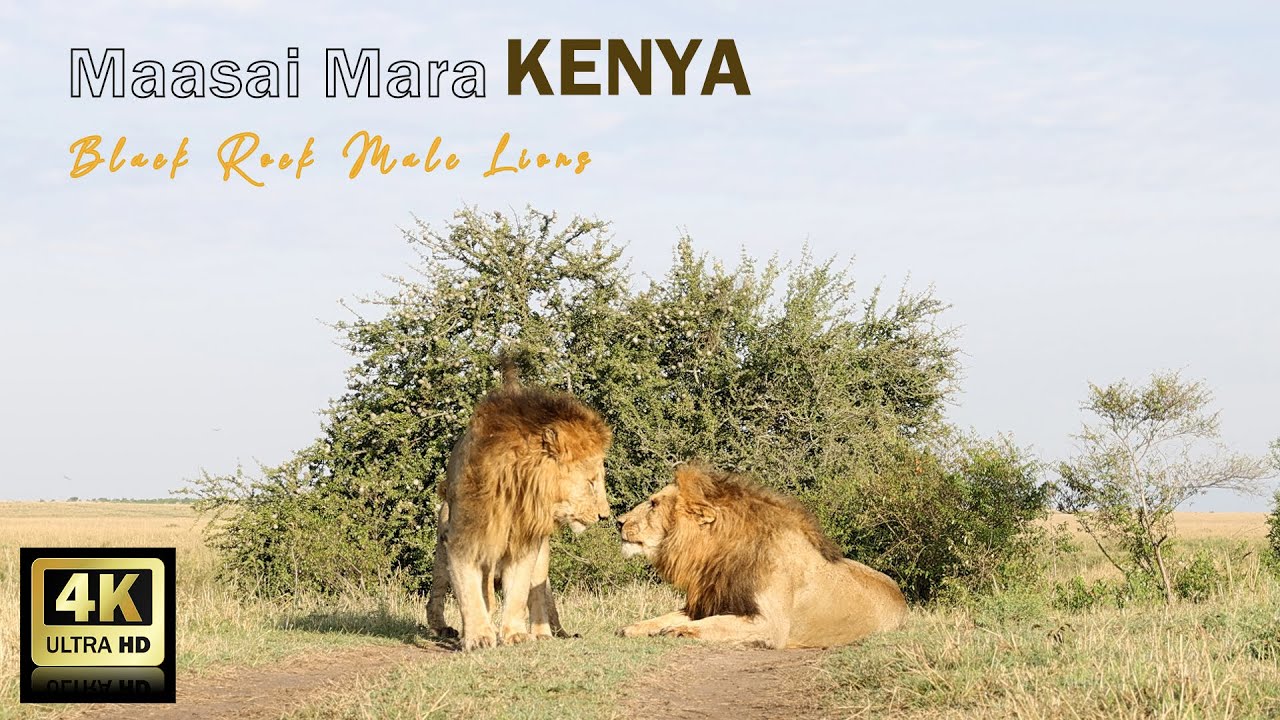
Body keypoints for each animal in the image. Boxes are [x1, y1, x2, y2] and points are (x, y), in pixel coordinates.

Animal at [425, 363, 612, 650]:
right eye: (592, 483)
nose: (605, 516)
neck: (517, 491)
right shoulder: (463, 538)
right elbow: (469, 592)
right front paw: (478, 636)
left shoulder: (526, 543)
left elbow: (518, 592)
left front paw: (515, 634)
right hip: (443, 540)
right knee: (438, 589)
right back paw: (443, 628)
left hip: (542, 553)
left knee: (538, 595)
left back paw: (543, 633)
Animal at [617, 463, 907, 648]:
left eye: (653, 504)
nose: (618, 522)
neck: (720, 554)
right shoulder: (708, 604)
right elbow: (665, 617)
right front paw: (632, 627)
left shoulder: (771, 624)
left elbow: (716, 625)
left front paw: (679, 631)